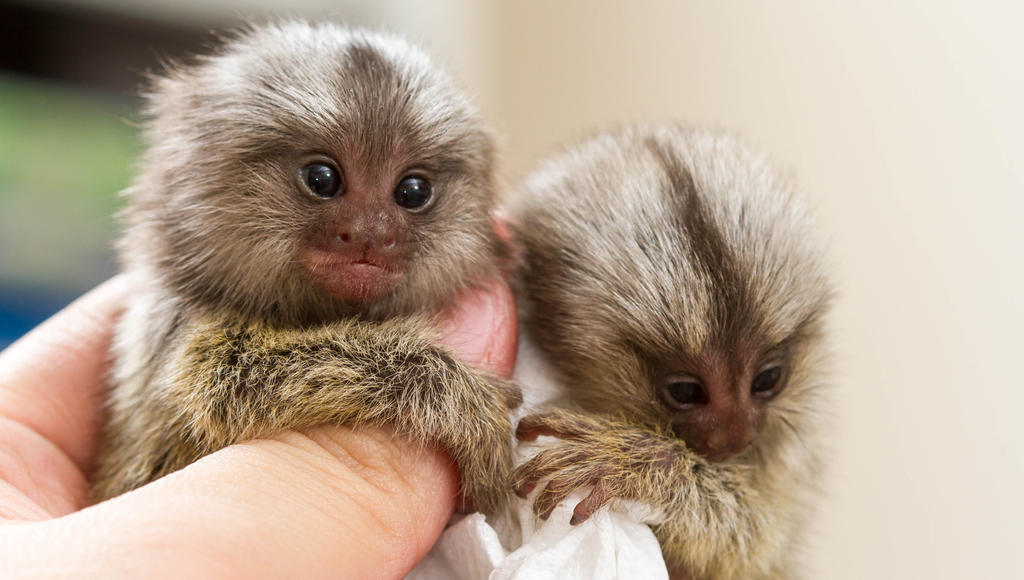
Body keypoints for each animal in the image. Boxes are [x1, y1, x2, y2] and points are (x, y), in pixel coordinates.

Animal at [89, 21, 519, 515]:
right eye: (322, 179)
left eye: (412, 191)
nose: (370, 233)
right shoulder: (178, 326)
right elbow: (227, 383)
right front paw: (459, 396)